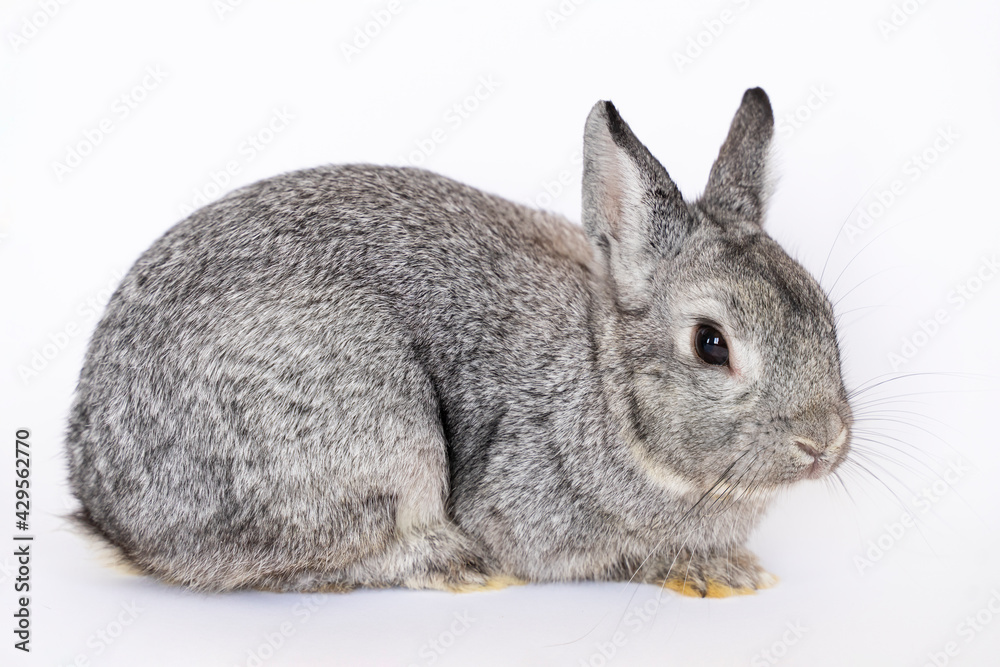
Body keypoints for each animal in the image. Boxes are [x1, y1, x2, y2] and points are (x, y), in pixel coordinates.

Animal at [65, 87, 852, 597]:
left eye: (823, 313)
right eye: (711, 343)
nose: (824, 441)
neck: (601, 387)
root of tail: (110, 507)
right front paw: (712, 572)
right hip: (367, 429)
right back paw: (458, 566)